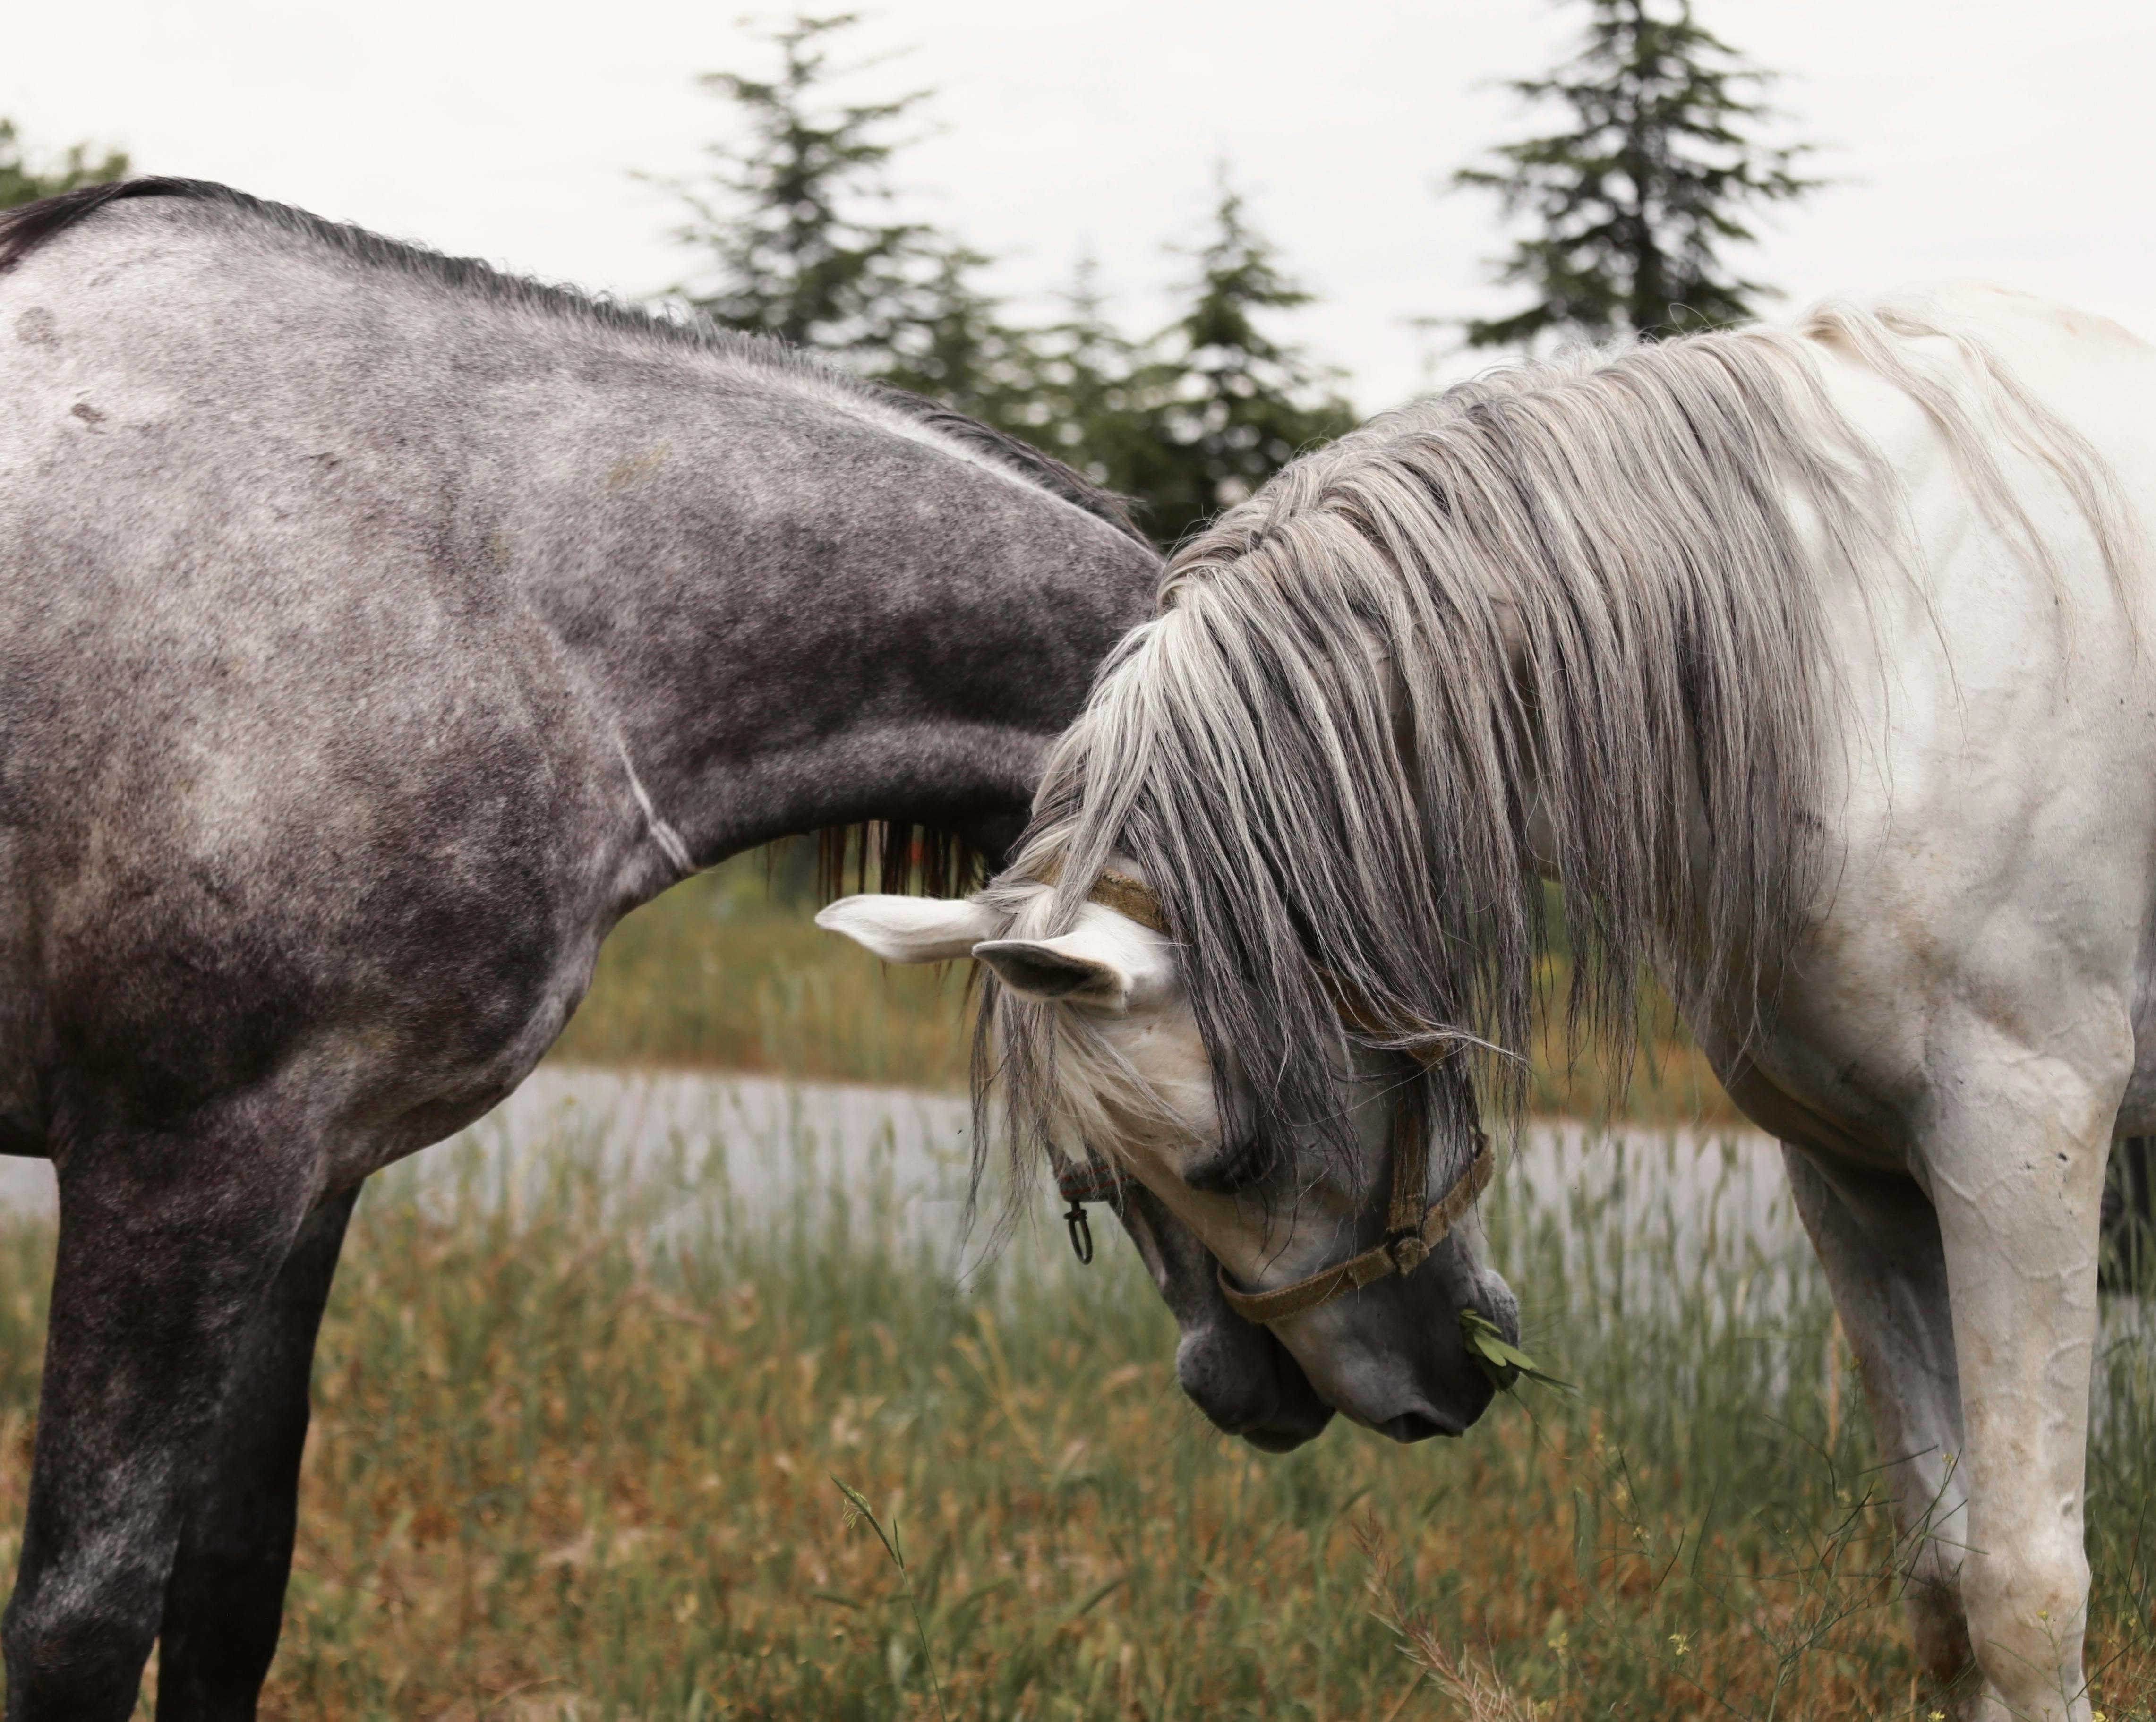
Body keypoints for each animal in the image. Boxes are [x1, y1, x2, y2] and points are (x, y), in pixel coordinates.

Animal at [820, 286, 2156, 1722]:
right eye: (1098, 1184)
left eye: (1236, 1159)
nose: (1420, 1388)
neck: (1857, 663)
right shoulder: (1857, 1175)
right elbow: (1943, 1585)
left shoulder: (2018, 1144)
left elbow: (2024, 1594)